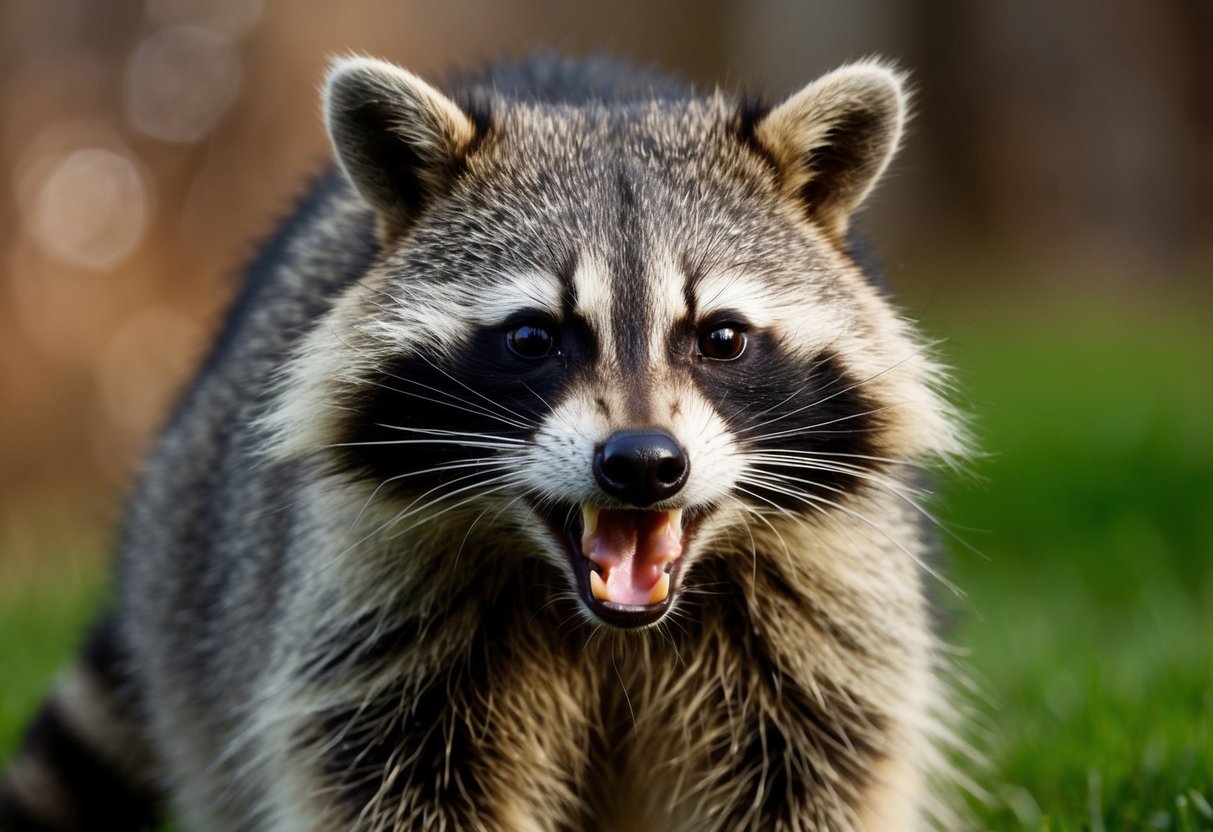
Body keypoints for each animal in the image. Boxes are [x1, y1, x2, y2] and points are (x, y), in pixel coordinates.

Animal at [0, 54, 969, 831]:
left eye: (720, 338)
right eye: (534, 338)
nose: (643, 464)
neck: (603, 626)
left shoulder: (826, 620)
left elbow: (813, 778)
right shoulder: (368, 623)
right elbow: (390, 783)